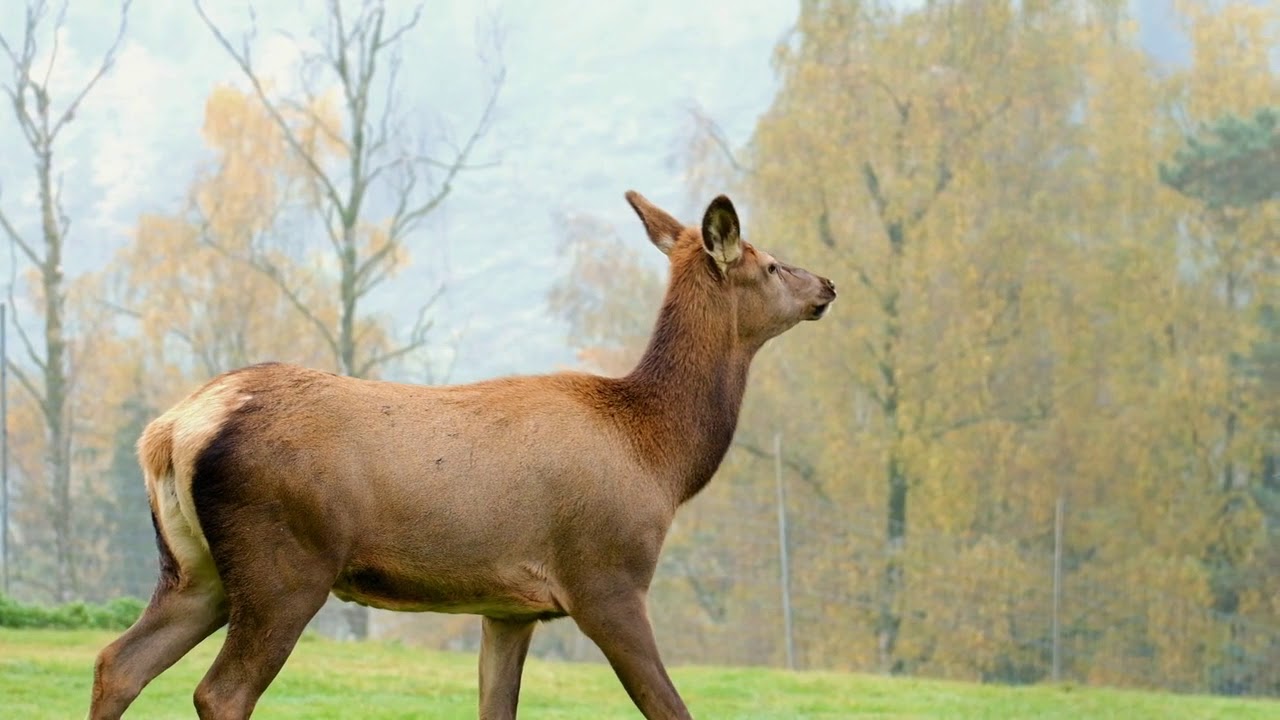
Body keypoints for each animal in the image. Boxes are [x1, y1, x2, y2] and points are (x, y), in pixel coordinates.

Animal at [88, 190, 836, 720]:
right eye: (769, 264)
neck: (662, 456)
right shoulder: (606, 576)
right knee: (220, 692)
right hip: (284, 563)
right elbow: (671, 706)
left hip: (196, 570)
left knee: (116, 663)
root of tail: (171, 430)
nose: (826, 284)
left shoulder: (510, 606)